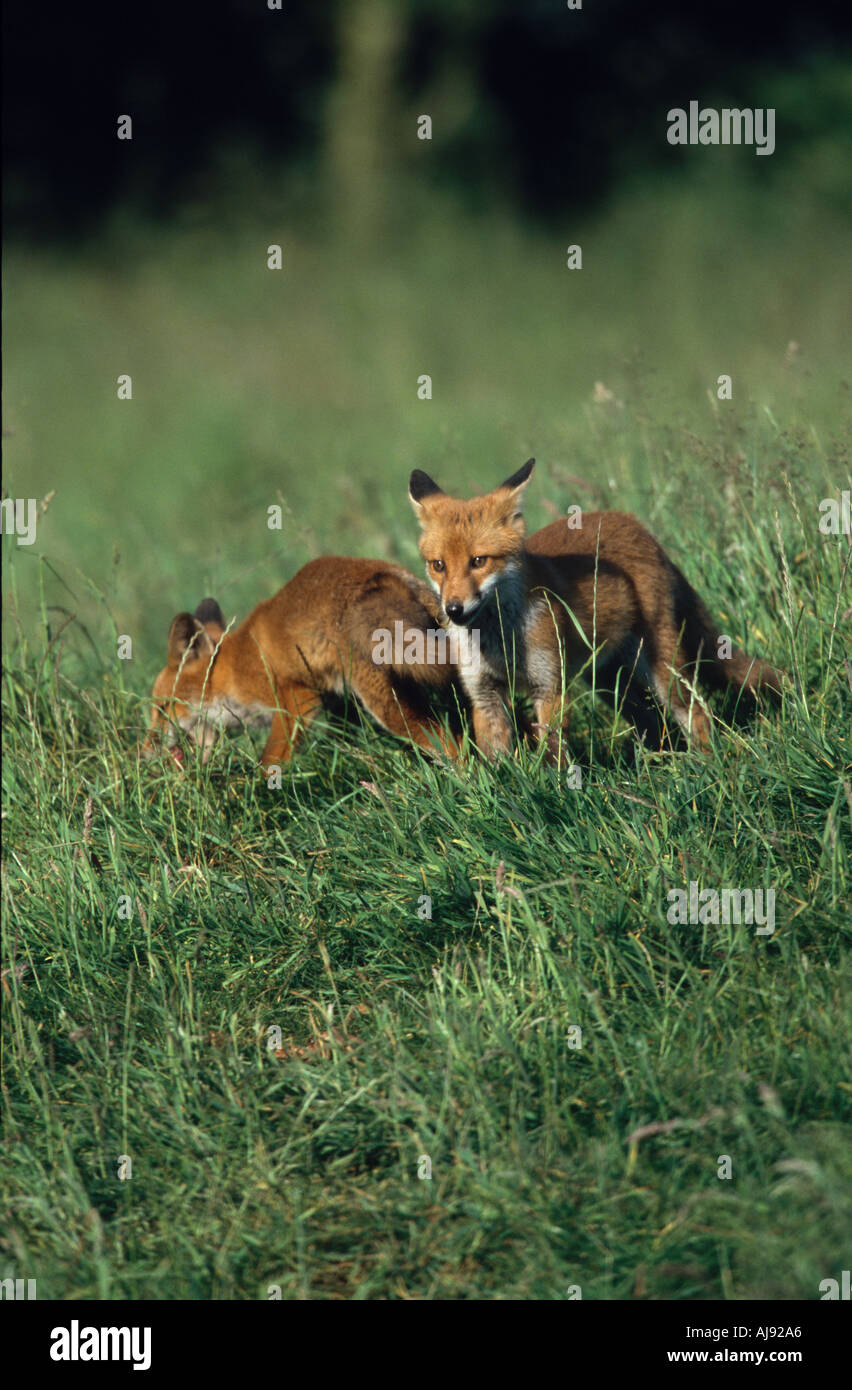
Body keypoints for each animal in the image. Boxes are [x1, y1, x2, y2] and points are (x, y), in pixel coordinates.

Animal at [142, 556, 465, 767]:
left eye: (162, 709)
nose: (143, 753)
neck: (234, 668)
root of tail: (385, 575)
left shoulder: (297, 697)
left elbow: (269, 762)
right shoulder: (333, 700)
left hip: (385, 706)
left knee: (450, 744)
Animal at [409, 458, 786, 761]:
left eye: (478, 561)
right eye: (439, 565)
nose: (454, 609)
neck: (500, 637)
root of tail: (637, 526)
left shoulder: (550, 687)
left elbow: (553, 753)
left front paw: (556, 791)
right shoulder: (484, 692)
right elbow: (496, 760)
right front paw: (505, 793)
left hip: (663, 671)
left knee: (697, 713)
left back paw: (707, 766)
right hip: (607, 681)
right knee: (652, 724)